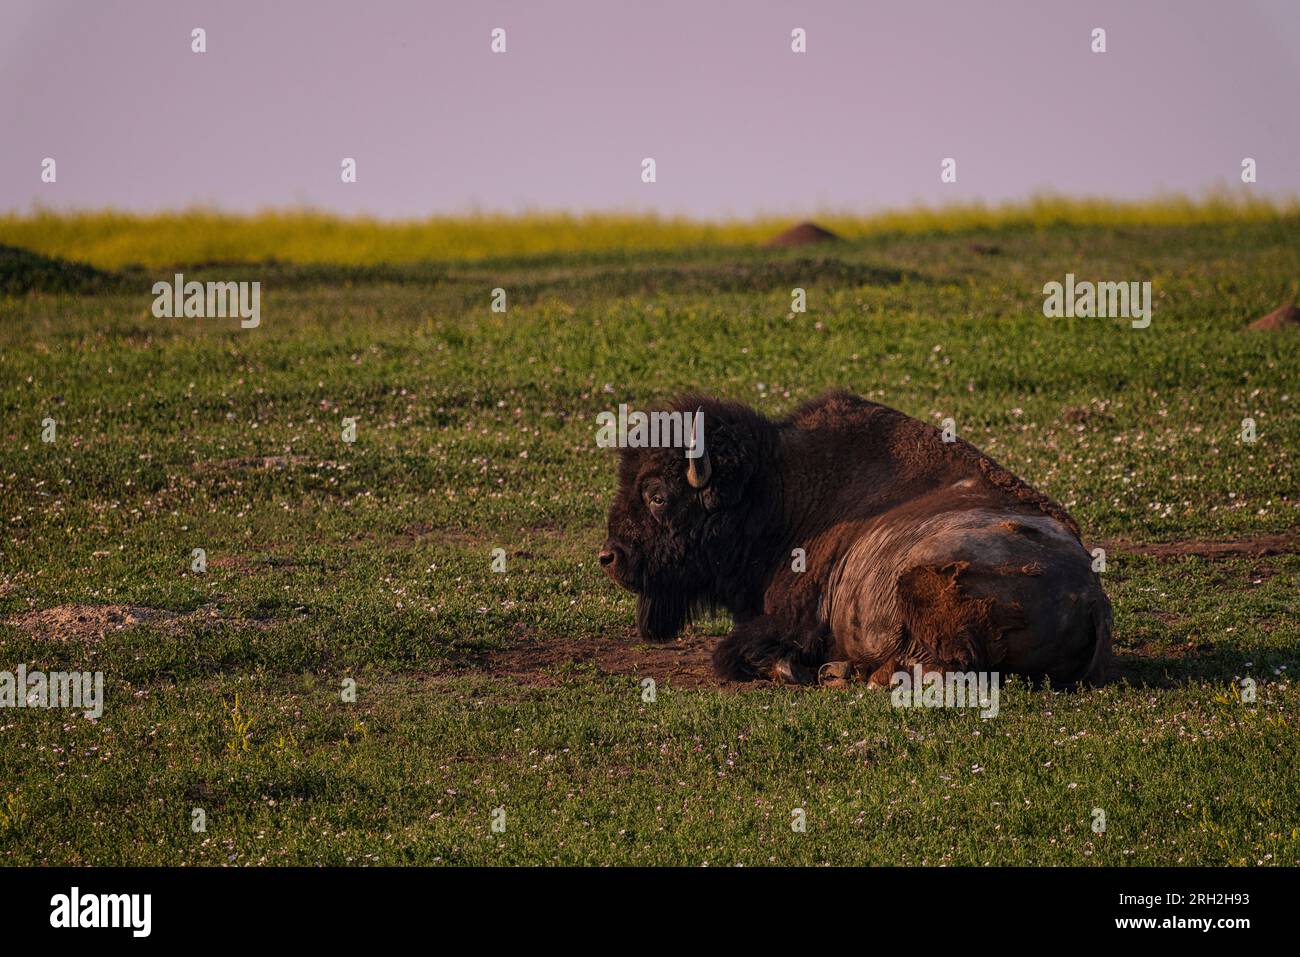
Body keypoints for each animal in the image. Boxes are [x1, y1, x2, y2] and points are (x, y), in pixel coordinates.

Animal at [600, 391, 1112, 687]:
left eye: (658, 495)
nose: (609, 557)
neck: (780, 489)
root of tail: (1091, 597)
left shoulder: (794, 618)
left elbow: (732, 650)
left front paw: (784, 667)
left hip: (924, 579)